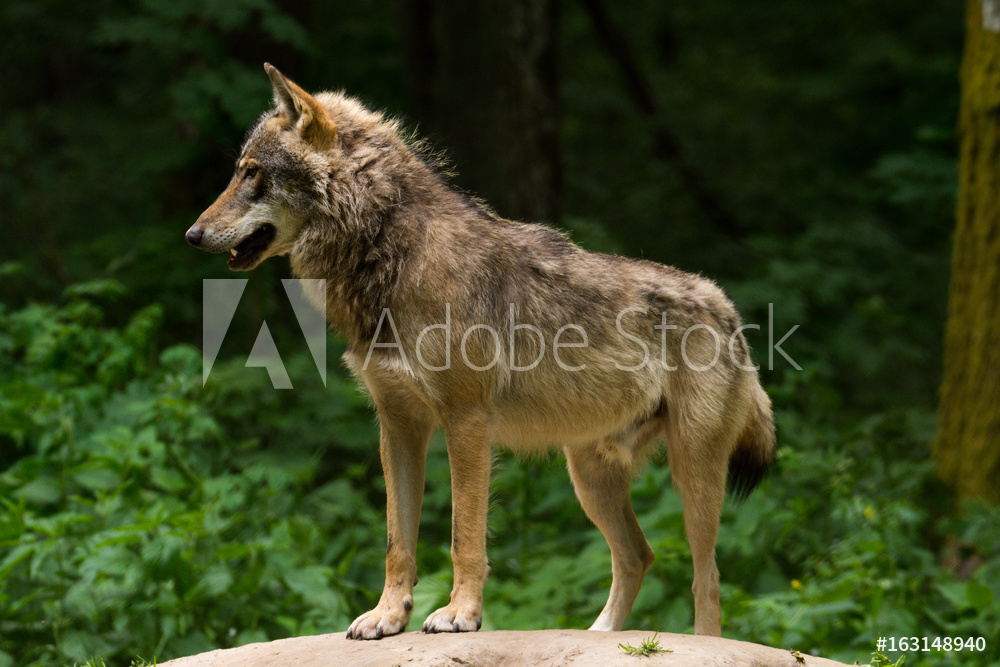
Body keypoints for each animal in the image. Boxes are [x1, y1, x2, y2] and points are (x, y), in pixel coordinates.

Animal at [186, 64, 776, 639]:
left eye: (252, 173)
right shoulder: (397, 426)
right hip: (589, 477)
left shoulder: (465, 422)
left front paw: (460, 614)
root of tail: (727, 307)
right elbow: (397, 542)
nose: (192, 234)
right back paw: (598, 635)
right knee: (639, 556)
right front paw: (387, 616)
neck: (390, 251)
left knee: (708, 581)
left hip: (691, 475)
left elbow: (462, 535)